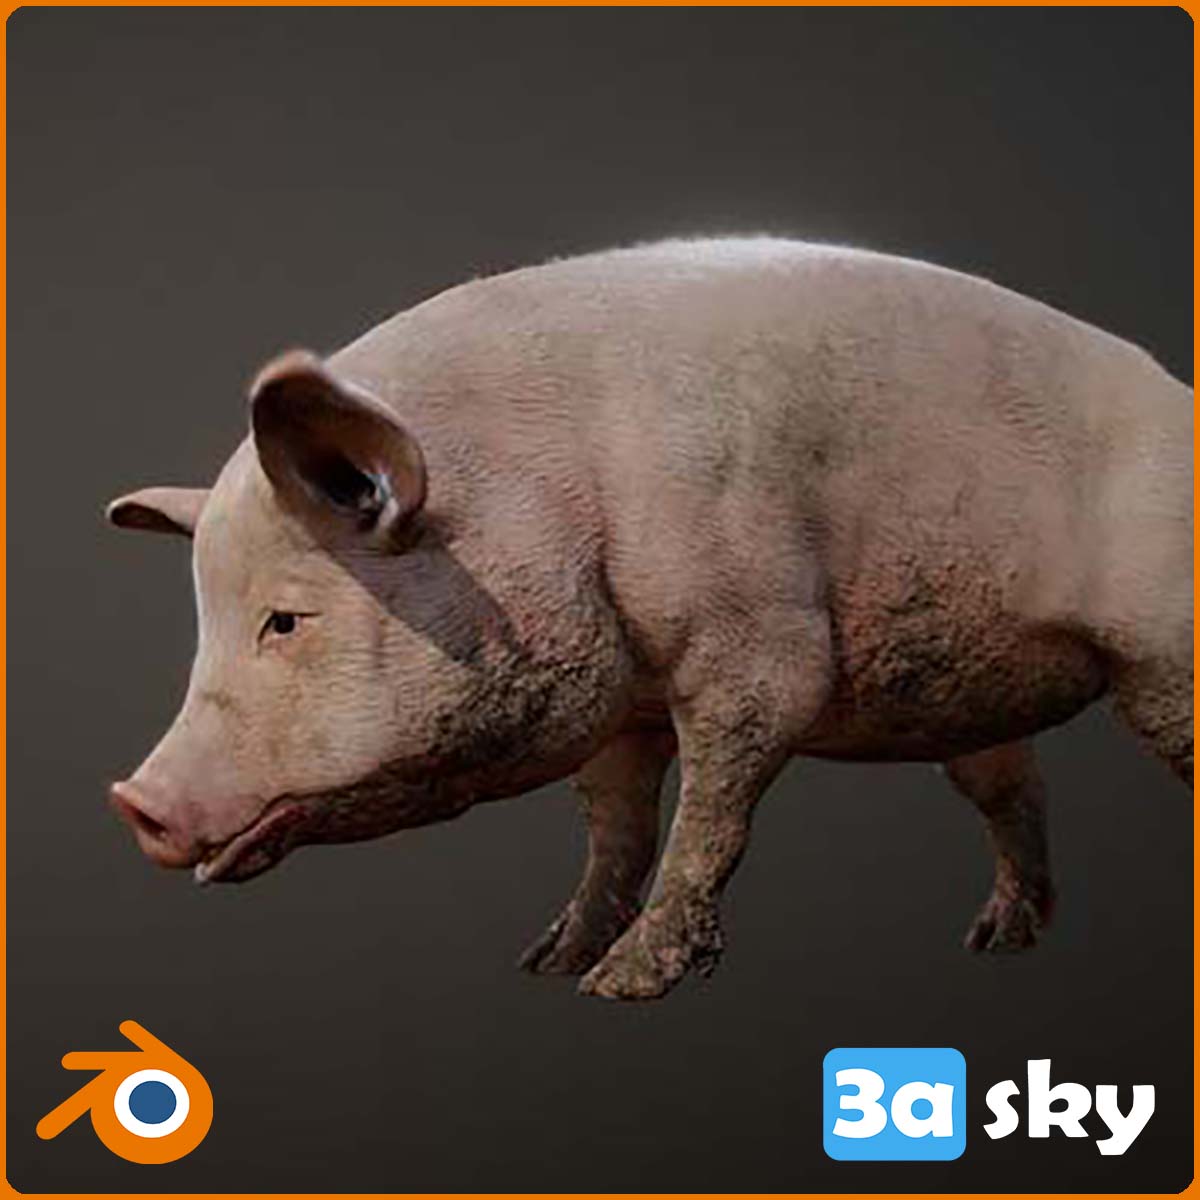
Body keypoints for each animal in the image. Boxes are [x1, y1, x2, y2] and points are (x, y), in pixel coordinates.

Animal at [107, 238, 1193, 1001]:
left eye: (286, 621)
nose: (133, 800)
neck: (539, 496)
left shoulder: (759, 646)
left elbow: (709, 817)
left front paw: (619, 985)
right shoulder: (619, 705)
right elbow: (616, 823)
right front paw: (549, 960)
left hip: (1161, 650)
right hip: (971, 699)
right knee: (1012, 789)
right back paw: (997, 938)